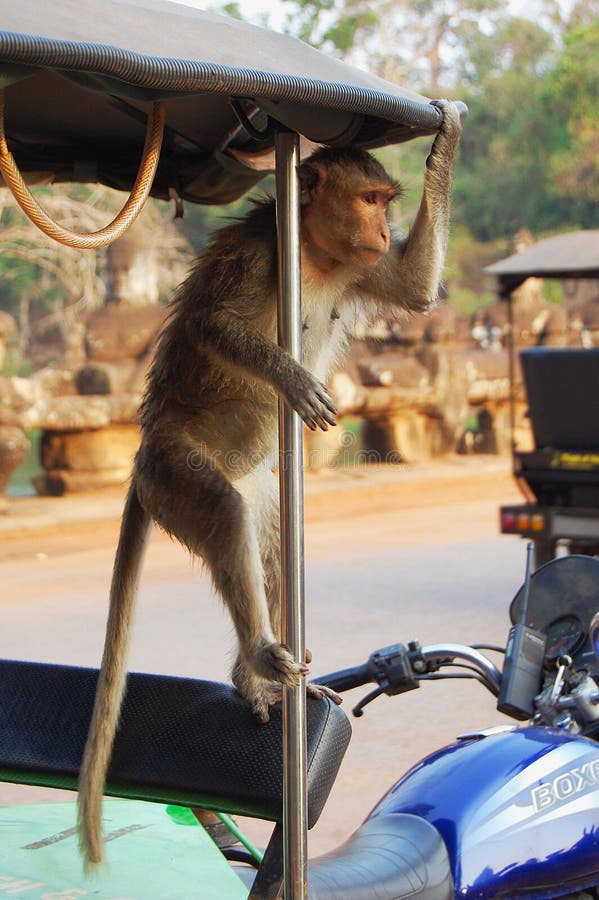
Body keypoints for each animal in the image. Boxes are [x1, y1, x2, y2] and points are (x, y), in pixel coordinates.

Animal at [78, 99, 462, 866]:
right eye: (369, 200)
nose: (382, 229)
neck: (313, 251)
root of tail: (141, 460)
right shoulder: (256, 256)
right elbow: (210, 323)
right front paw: (288, 375)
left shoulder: (356, 271)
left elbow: (410, 290)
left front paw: (446, 137)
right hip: (176, 469)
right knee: (225, 514)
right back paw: (259, 652)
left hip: (239, 477)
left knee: (273, 533)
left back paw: (257, 676)